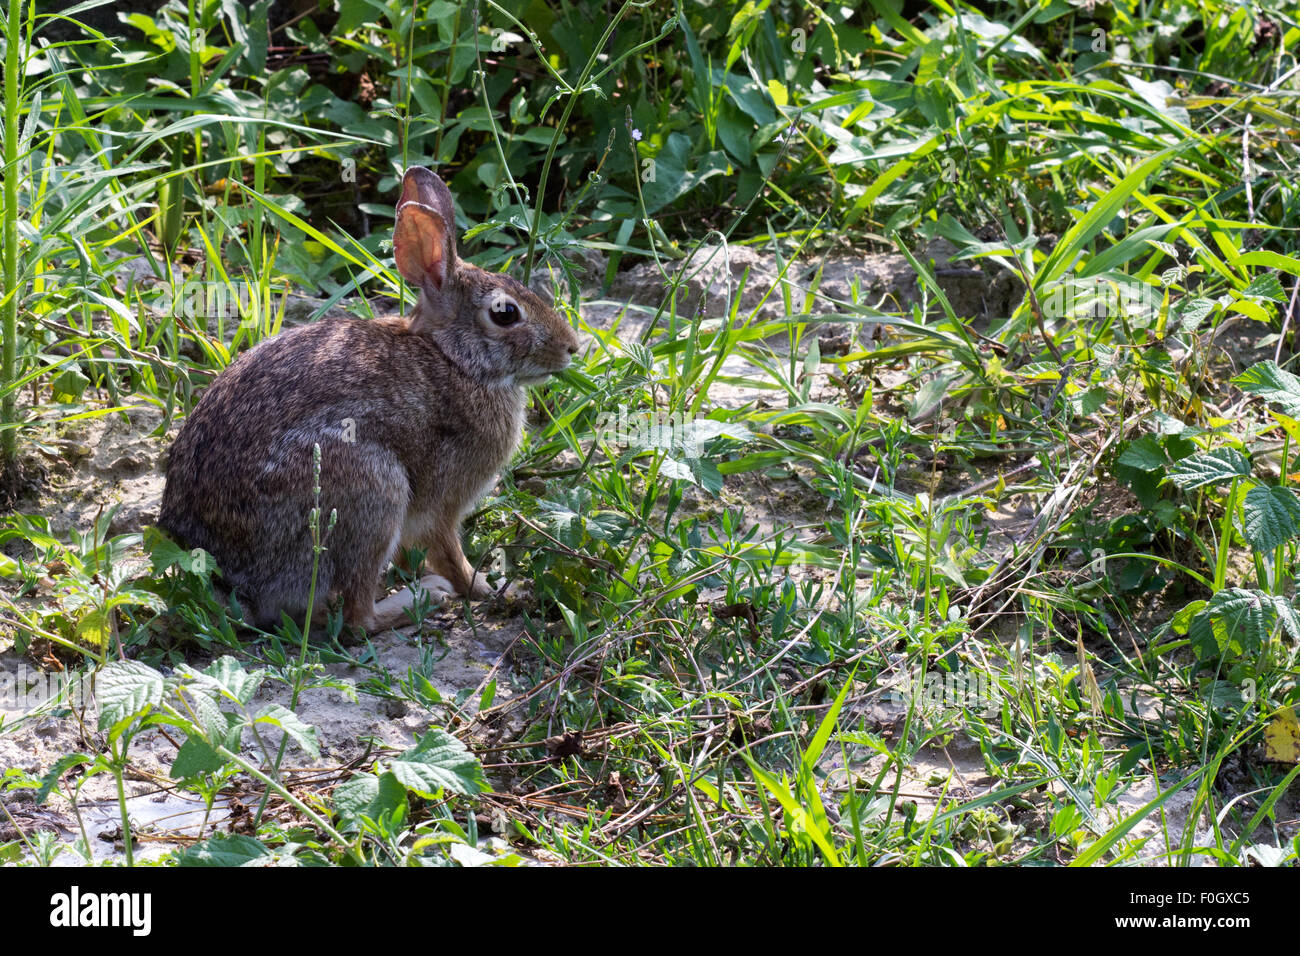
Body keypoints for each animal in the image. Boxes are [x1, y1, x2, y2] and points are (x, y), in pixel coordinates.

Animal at [158, 166, 579, 632]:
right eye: (505, 314)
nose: (572, 347)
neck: (454, 359)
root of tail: (236, 580)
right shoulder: (441, 504)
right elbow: (450, 554)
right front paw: (491, 588)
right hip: (372, 489)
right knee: (357, 618)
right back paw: (421, 599)